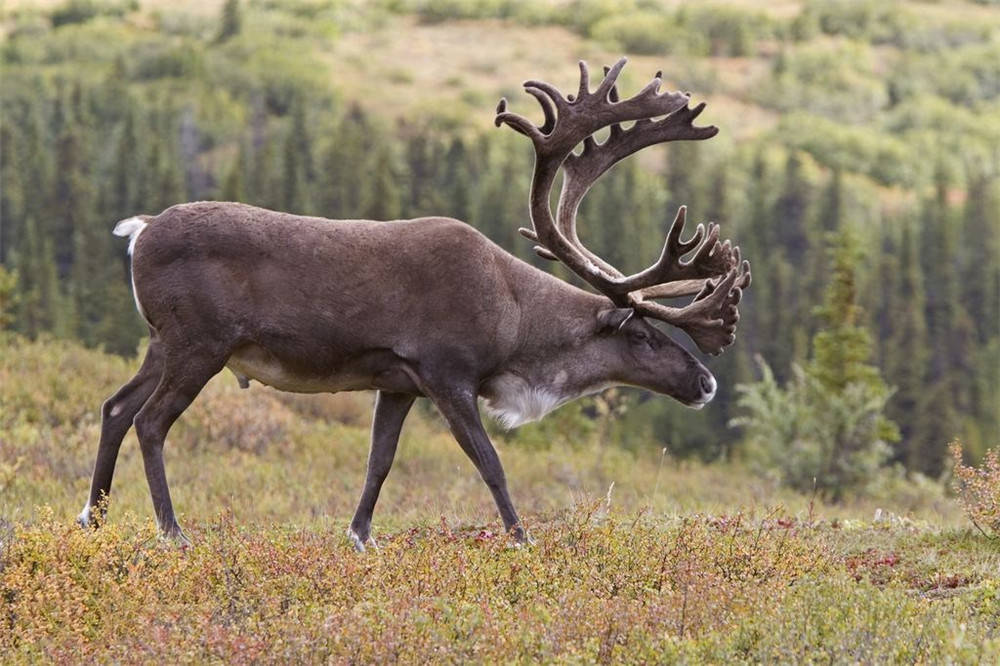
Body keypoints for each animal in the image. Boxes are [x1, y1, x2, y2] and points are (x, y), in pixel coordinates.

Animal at [78, 58, 750, 550]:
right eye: (642, 335)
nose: (707, 383)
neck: (514, 319)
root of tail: (139, 231)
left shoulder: (397, 383)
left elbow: (379, 462)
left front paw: (360, 536)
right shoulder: (448, 375)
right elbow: (490, 463)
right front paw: (523, 540)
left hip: (161, 343)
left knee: (115, 407)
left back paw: (94, 517)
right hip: (200, 345)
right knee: (150, 422)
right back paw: (173, 533)